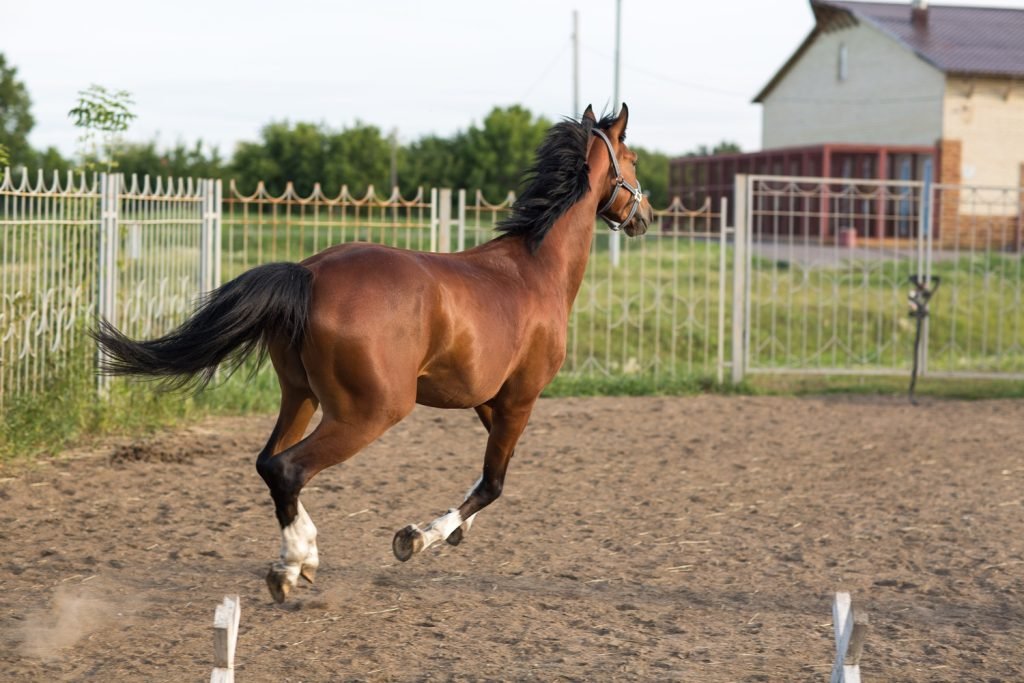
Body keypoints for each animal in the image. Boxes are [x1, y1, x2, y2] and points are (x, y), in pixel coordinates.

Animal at [92, 103, 653, 603]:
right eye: (633, 159)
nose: (645, 214)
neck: (534, 270)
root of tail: (309, 274)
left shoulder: (487, 399)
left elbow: (487, 477)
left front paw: (455, 530)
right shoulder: (520, 398)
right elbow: (494, 482)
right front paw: (416, 538)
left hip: (300, 397)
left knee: (268, 463)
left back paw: (301, 560)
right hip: (370, 412)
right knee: (287, 469)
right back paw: (295, 564)